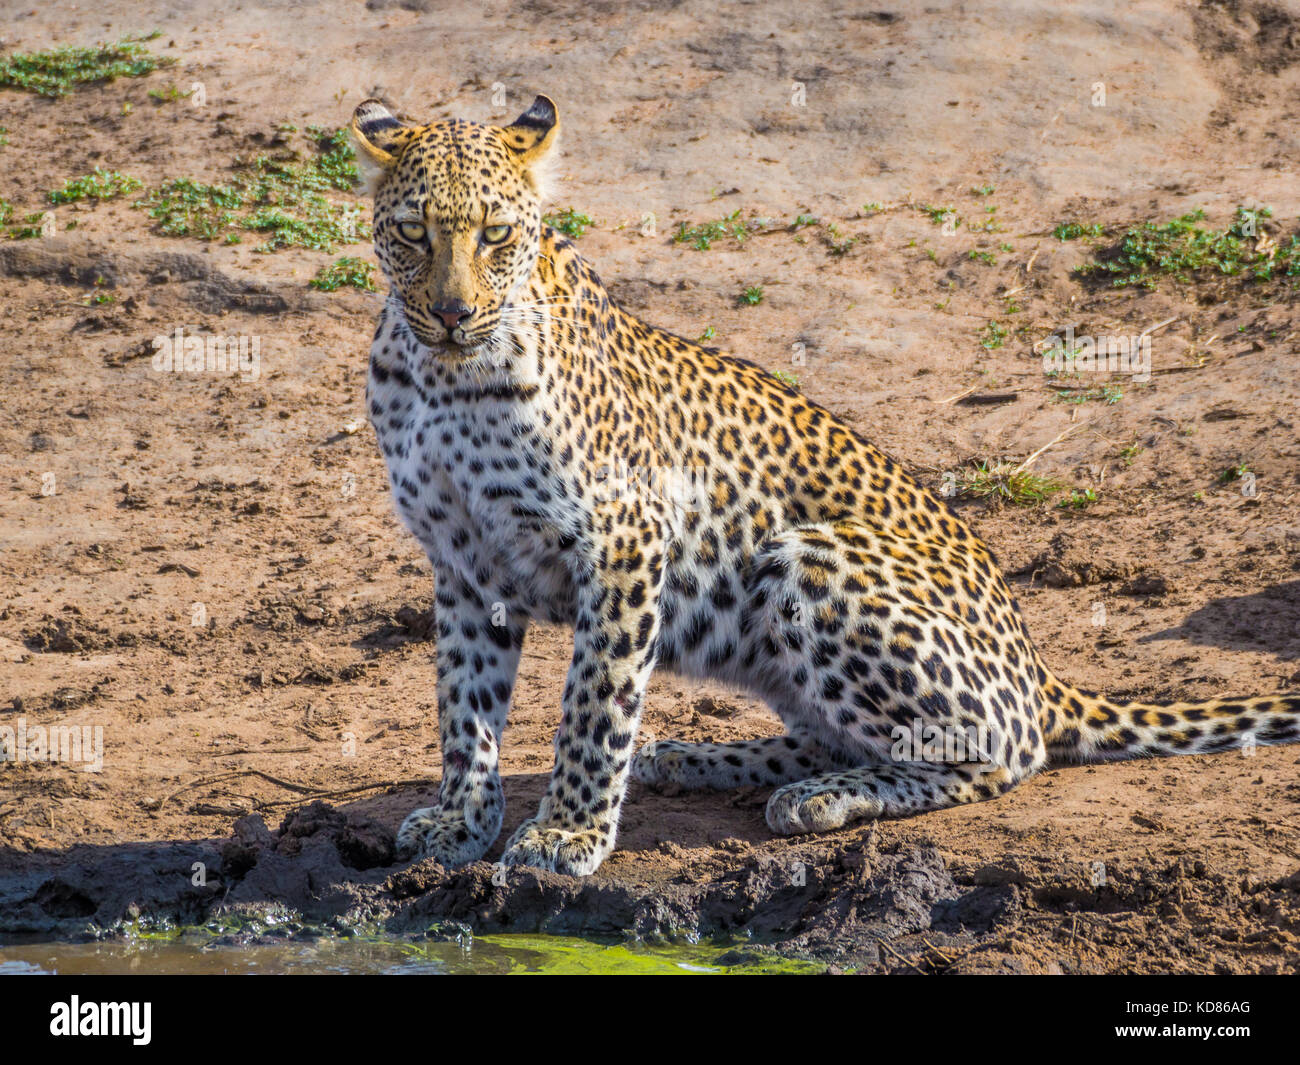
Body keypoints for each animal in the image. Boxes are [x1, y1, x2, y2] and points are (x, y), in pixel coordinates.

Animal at [350, 93, 1300, 876]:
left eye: (495, 235)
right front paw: (462, 819)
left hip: (808, 557)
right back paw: (698, 759)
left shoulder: (623, 535)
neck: (443, 378)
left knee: (999, 752)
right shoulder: (463, 563)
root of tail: (1038, 668)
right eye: (414, 231)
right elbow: (463, 705)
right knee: (832, 734)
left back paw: (822, 798)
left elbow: (594, 701)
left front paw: (565, 833)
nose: (452, 313)